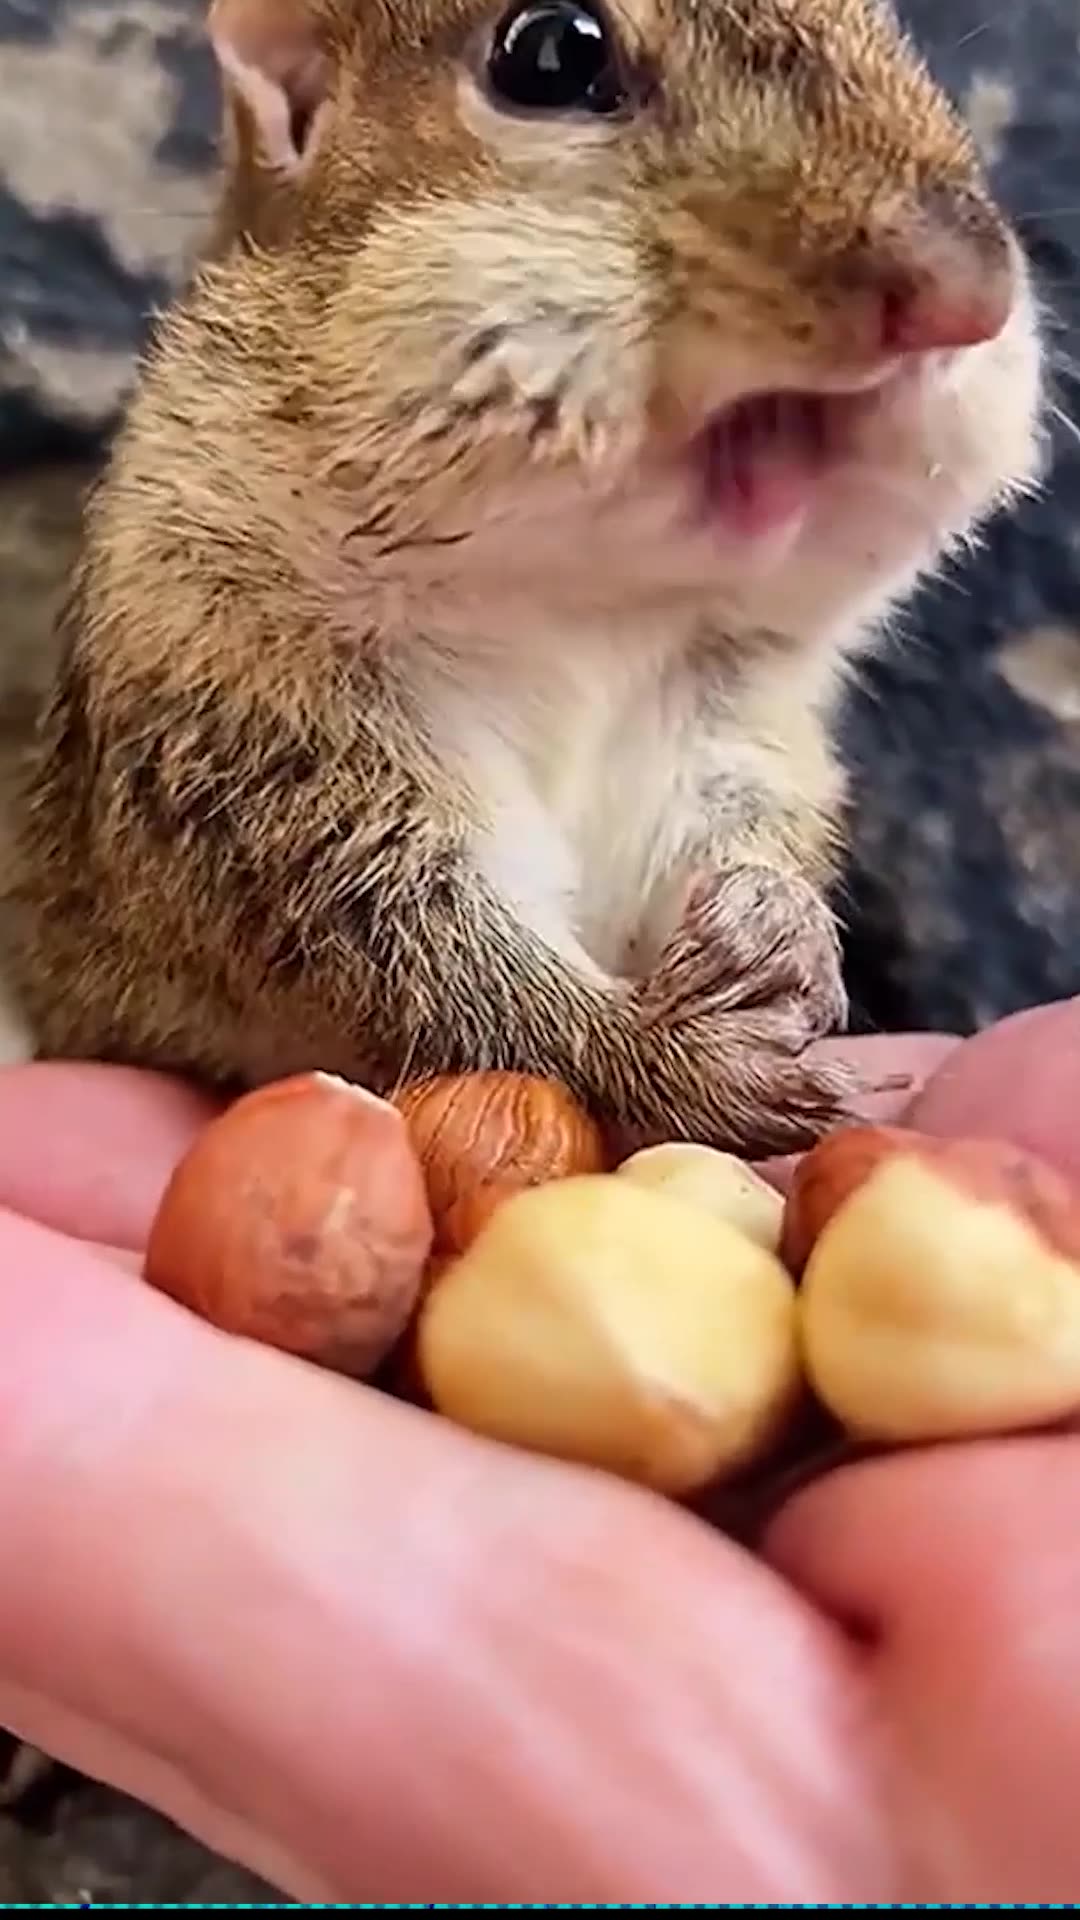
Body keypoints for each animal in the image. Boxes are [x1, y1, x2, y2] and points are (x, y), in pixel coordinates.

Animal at [1, 0, 1043, 1158]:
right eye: (550, 55)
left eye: (887, 31)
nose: (973, 297)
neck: (588, 604)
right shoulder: (240, 742)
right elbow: (429, 971)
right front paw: (680, 1066)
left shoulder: (734, 732)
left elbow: (744, 834)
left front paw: (777, 928)